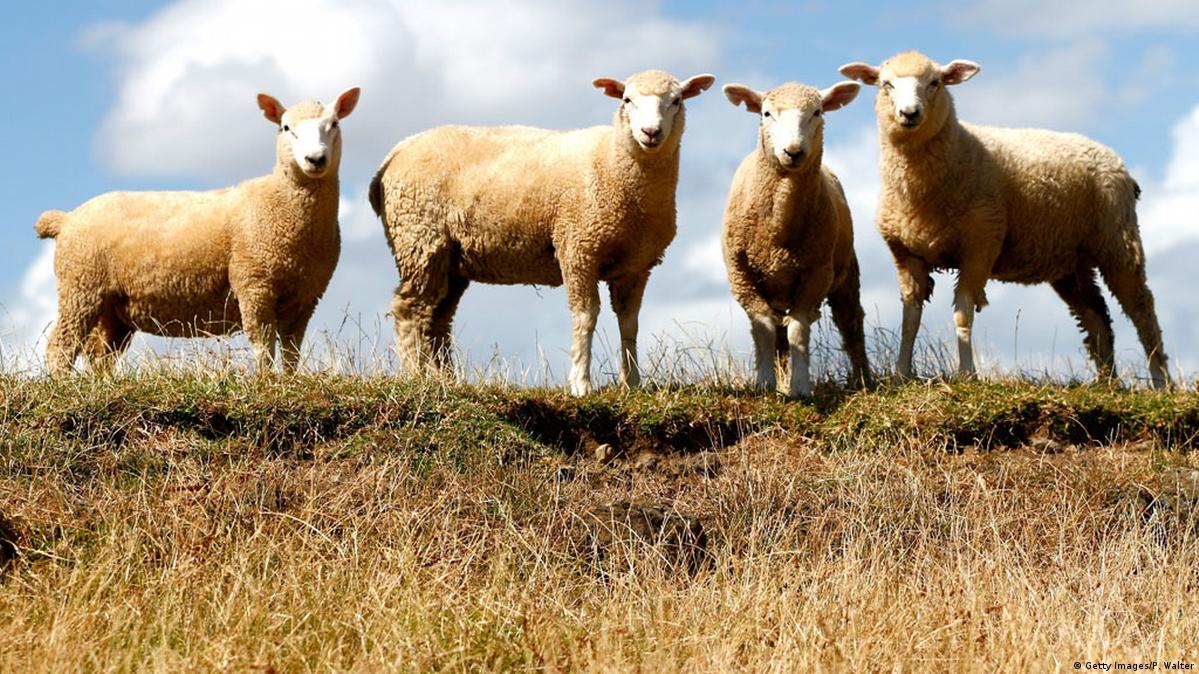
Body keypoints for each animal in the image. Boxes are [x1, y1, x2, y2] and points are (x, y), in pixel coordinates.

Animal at [35, 87, 361, 375]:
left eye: (334, 124)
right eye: (286, 127)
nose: (315, 159)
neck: (279, 203)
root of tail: (66, 218)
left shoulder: (304, 296)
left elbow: (292, 351)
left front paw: (291, 381)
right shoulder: (253, 282)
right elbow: (263, 346)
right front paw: (265, 382)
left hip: (111, 307)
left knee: (98, 354)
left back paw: (99, 385)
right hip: (81, 287)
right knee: (60, 345)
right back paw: (61, 384)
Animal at [370, 70, 715, 396]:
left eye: (676, 101)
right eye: (627, 100)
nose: (650, 133)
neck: (615, 166)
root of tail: (393, 156)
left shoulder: (636, 266)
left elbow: (630, 324)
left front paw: (631, 383)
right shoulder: (577, 247)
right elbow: (586, 316)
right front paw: (580, 384)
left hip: (451, 259)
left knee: (438, 319)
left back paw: (446, 380)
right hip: (420, 238)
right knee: (409, 309)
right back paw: (415, 376)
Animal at [721, 80, 871, 397]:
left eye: (817, 112)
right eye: (766, 113)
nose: (793, 151)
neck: (779, 230)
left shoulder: (816, 274)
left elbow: (798, 329)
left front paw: (801, 386)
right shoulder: (742, 277)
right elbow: (764, 329)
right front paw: (765, 384)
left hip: (845, 273)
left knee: (851, 323)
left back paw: (864, 378)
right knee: (778, 333)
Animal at [838, 51, 1170, 388]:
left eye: (935, 83)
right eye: (886, 84)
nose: (909, 113)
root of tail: (1116, 161)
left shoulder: (979, 246)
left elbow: (963, 312)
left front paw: (967, 373)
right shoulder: (906, 255)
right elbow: (910, 317)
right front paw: (901, 375)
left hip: (1118, 241)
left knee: (1142, 309)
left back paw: (1160, 380)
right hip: (1070, 262)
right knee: (1097, 317)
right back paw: (1107, 383)